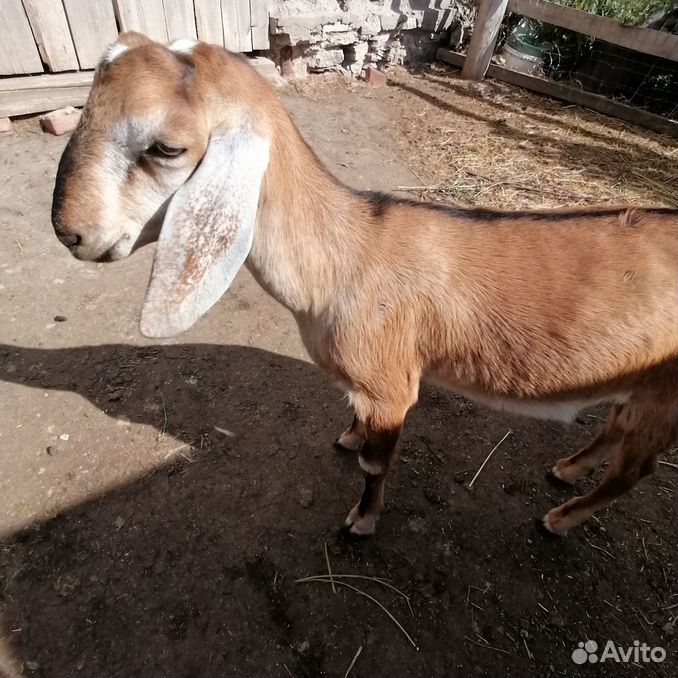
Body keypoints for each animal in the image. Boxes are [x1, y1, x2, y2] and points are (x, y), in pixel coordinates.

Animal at [51, 32, 678, 538]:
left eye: (166, 148)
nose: (69, 233)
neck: (348, 255)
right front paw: (348, 438)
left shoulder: (390, 388)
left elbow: (375, 466)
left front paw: (363, 520)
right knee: (616, 426)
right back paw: (568, 468)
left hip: (666, 400)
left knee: (635, 470)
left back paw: (561, 518)